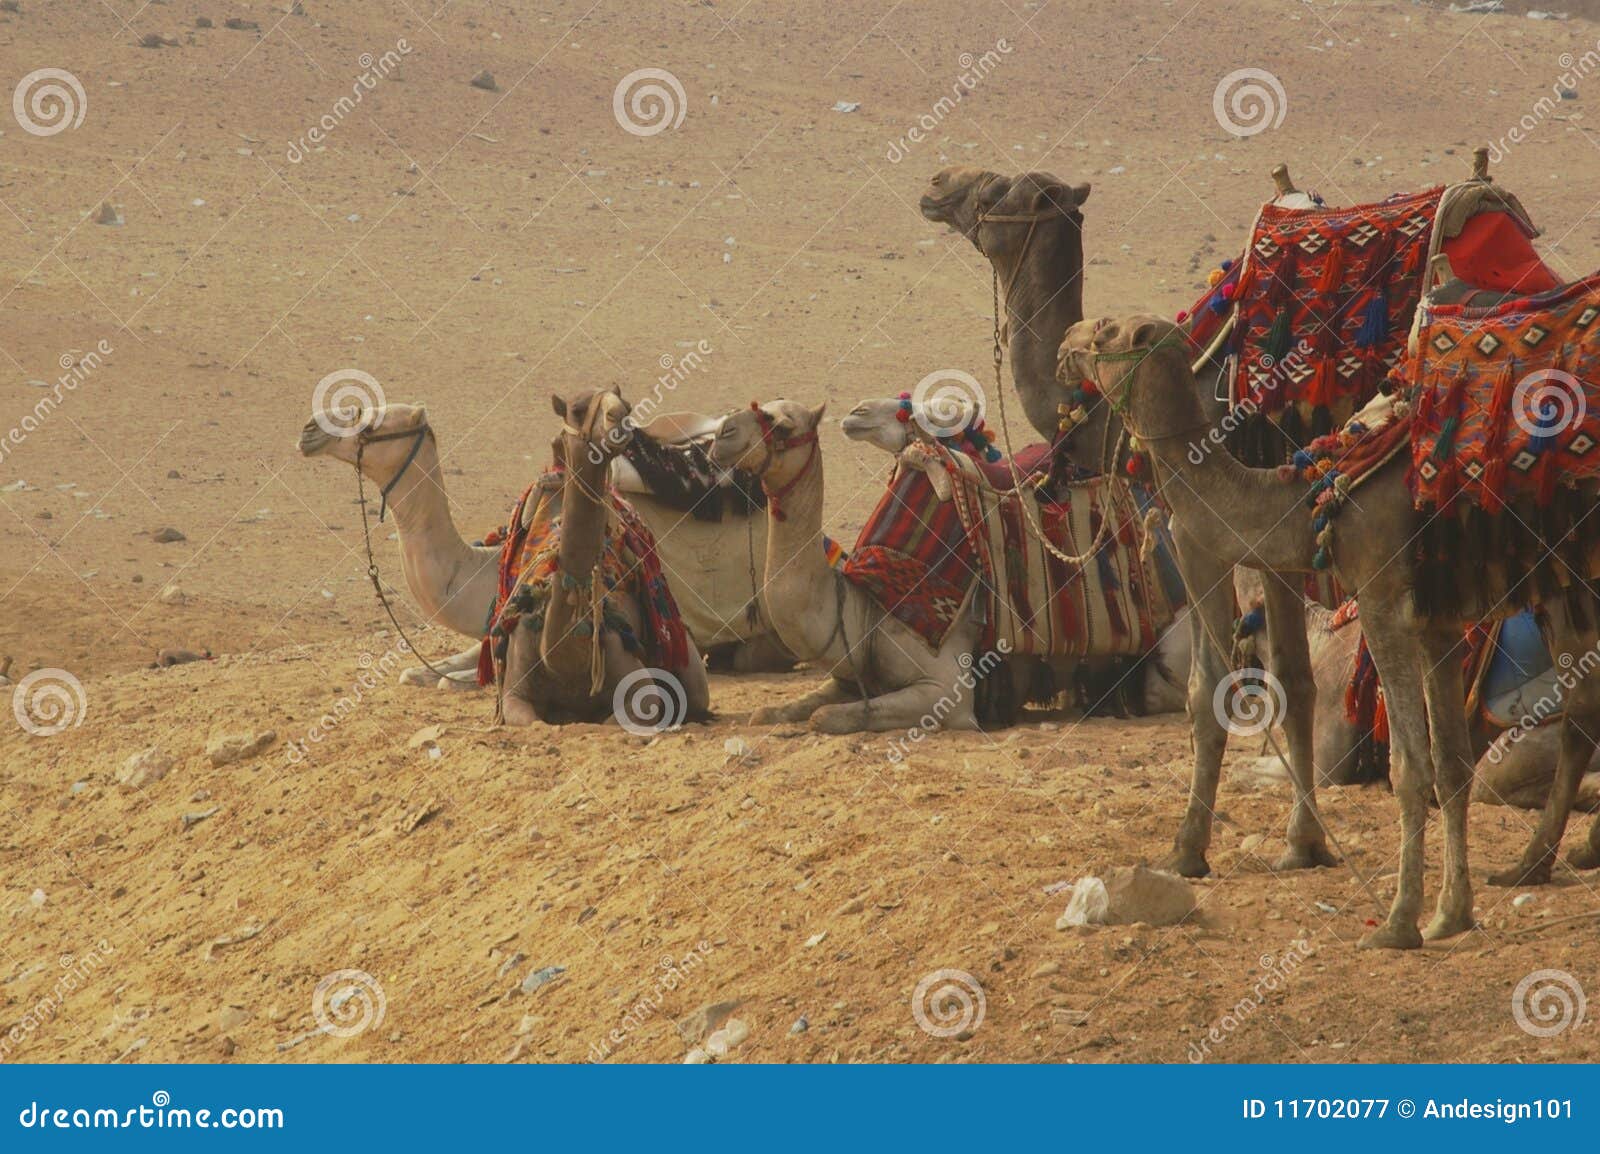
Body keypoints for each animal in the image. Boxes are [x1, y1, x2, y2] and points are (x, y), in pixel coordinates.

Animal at [496, 388, 711, 726]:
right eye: (576, 409)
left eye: (627, 405)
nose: (618, 416)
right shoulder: (515, 688)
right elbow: (530, 717)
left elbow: (625, 714)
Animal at [709, 400, 989, 734]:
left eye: (783, 426)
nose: (722, 433)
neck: (866, 615)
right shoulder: (849, 679)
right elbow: (773, 711)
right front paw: (769, 713)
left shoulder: (949, 692)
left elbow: (824, 716)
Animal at [1063, 314, 1600, 949]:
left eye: (1106, 332)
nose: (1066, 343)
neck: (1317, 496)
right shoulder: (1439, 625)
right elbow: (1450, 764)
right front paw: (1451, 914)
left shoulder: (1381, 598)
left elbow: (1409, 767)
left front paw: (1398, 923)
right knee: (1580, 717)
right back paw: (1528, 865)